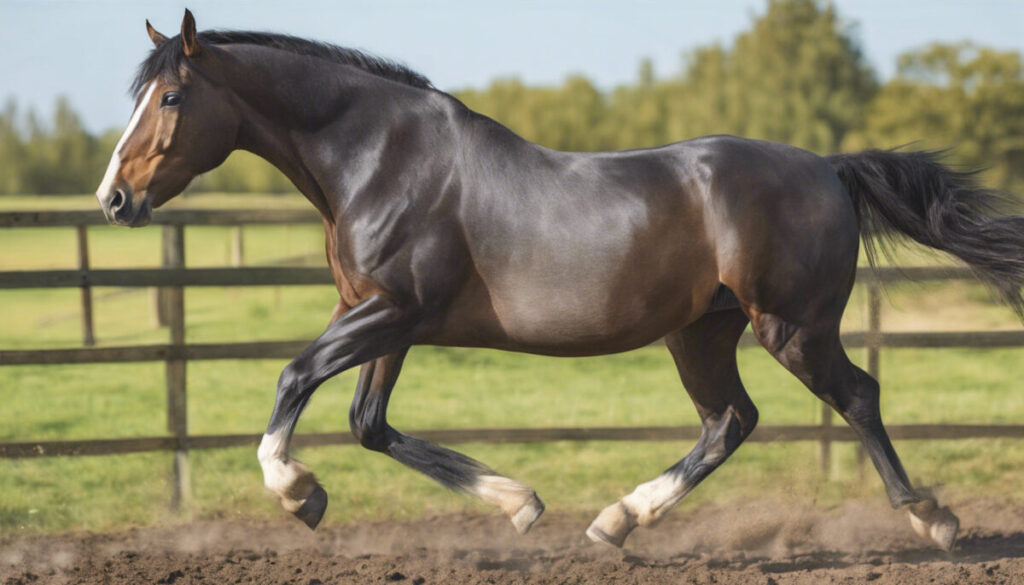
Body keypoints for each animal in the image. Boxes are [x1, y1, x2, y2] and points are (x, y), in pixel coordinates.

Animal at [97, 10, 1024, 551]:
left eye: (171, 97)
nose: (113, 198)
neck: (378, 159)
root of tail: (829, 168)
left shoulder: (391, 310)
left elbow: (294, 377)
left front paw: (299, 495)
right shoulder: (383, 317)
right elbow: (370, 423)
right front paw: (520, 503)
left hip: (791, 326)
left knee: (856, 395)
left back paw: (935, 518)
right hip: (702, 331)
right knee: (731, 420)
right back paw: (616, 520)